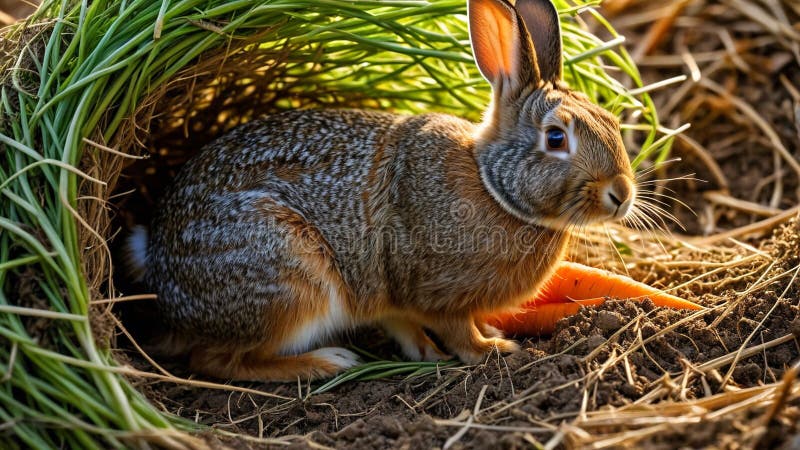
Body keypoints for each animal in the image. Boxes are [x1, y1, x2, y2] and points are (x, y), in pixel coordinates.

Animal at [125, 0, 636, 381]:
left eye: (610, 122)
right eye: (556, 138)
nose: (622, 194)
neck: (495, 189)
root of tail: (167, 290)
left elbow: (403, 321)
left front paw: (433, 348)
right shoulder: (437, 292)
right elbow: (458, 331)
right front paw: (494, 348)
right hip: (287, 278)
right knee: (216, 360)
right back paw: (326, 362)